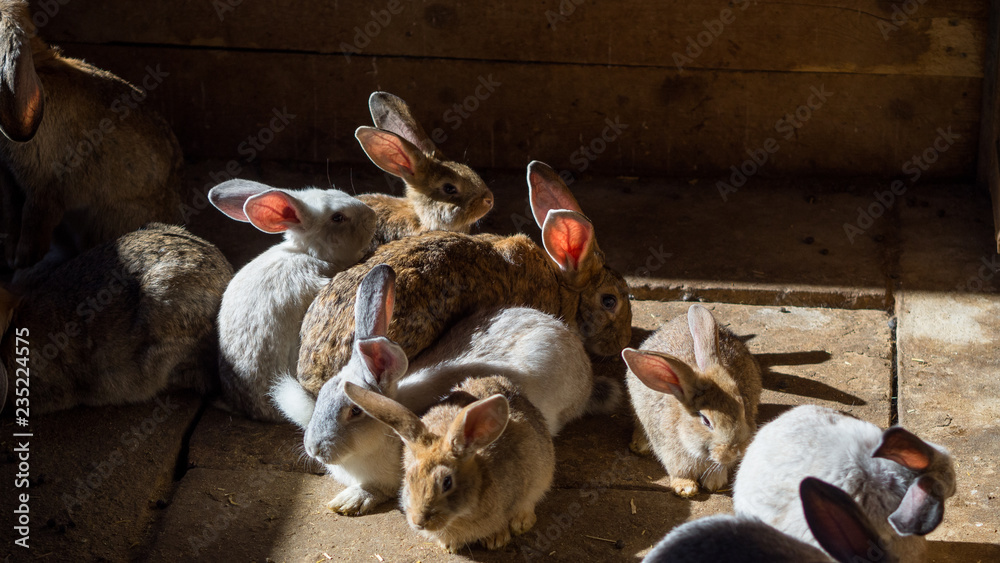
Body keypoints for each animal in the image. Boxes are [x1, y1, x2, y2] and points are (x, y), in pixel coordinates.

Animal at [0, 0, 183, 271]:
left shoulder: (45, 188)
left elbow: (34, 222)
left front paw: (24, 261)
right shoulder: (11, 182)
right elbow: (12, 216)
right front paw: (11, 258)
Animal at [622, 304, 762, 498]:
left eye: (742, 406)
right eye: (706, 421)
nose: (736, 451)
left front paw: (714, 483)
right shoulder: (671, 453)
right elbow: (679, 471)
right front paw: (685, 488)